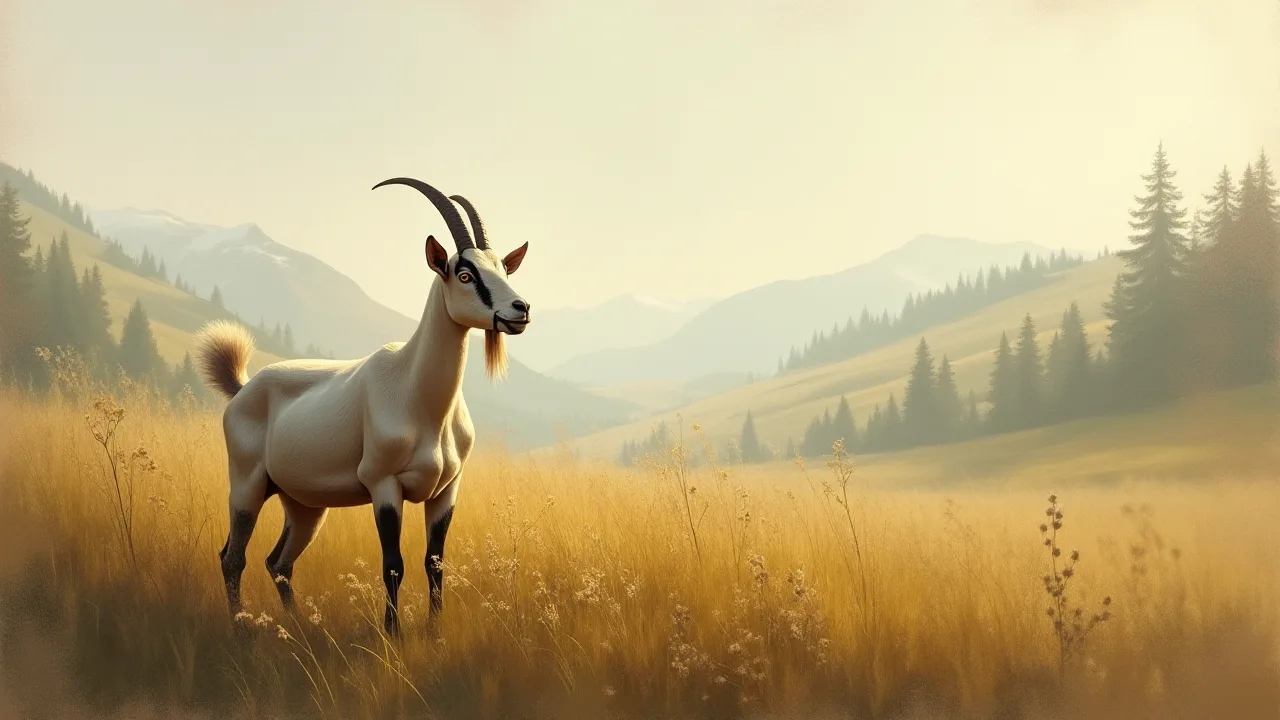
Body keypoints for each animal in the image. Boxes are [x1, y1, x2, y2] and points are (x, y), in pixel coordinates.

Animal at [194, 178, 531, 636]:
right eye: (464, 274)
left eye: (503, 268)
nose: (520, 310)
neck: (418, 397)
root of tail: (243, 388)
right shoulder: (384, 486)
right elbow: (393, 565)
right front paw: (393, 635)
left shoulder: (446, 491)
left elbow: (435, 564)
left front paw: (434, 634)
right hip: (247, 487)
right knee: (233, 557)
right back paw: (242, 629)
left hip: (303, 506)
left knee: (277, 562)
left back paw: (297, 627)